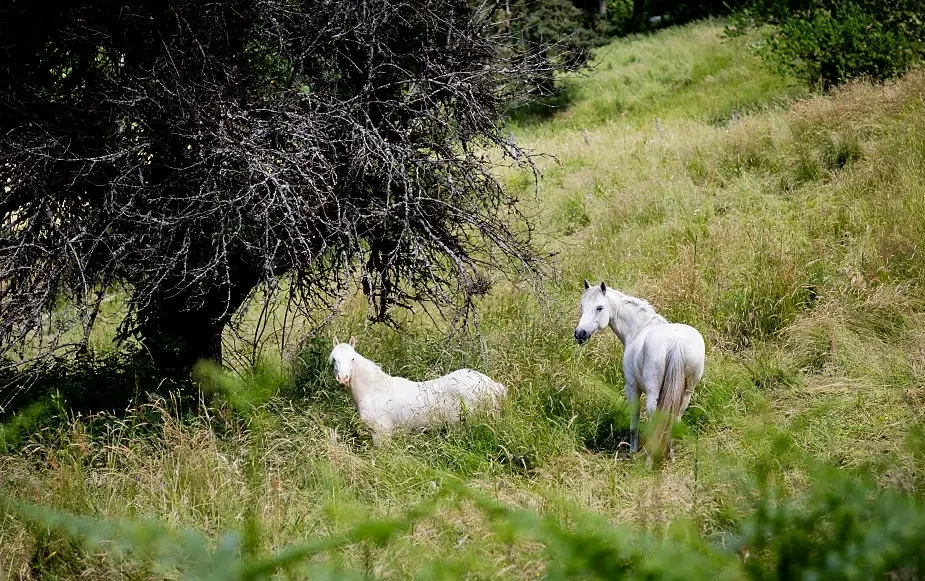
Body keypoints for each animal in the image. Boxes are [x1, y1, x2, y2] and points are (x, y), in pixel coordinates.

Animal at [328, 336, 507, 445]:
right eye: (334, 359)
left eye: (352, 358)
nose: (343, 379)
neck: (374, 391)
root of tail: (492, 385)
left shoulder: (381, 434)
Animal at [573, 281, 705, 463]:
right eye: (582, 306)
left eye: (599, 307)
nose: (580, 333)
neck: (638, 328)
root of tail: (675, 341)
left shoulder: (632, 388)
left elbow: (634, 423)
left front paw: (632, 452)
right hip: (686, 393)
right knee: (676, 417)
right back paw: (669, 454)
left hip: (653, 393)